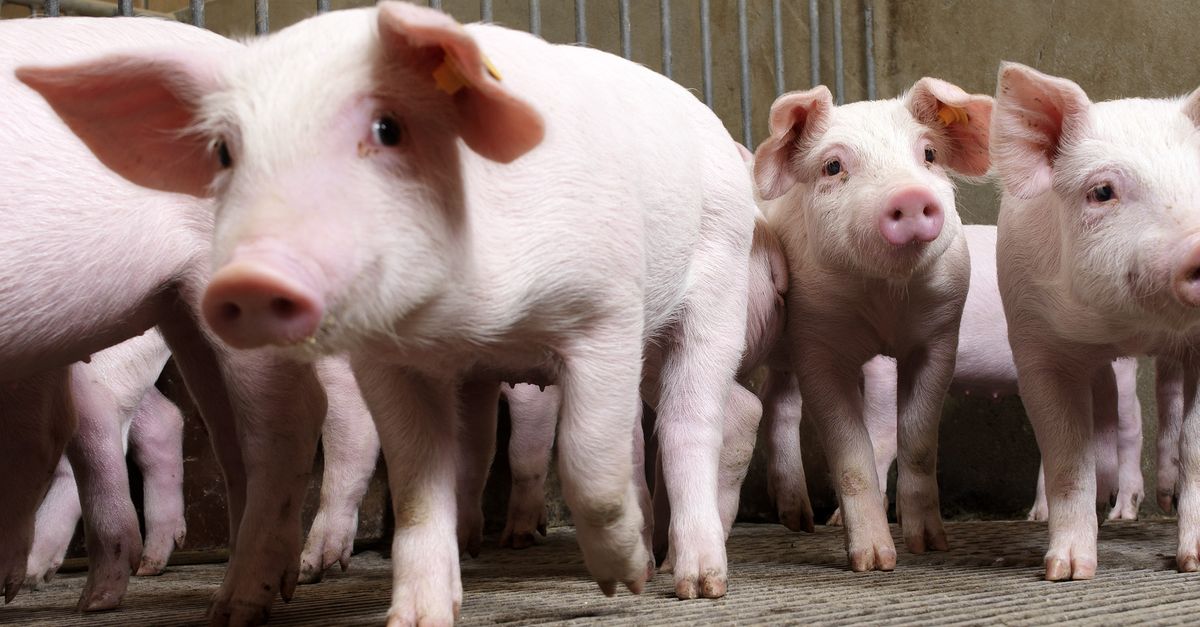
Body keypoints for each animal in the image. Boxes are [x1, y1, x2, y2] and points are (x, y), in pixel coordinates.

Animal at [756, 79, 992, 571]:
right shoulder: (816, 342)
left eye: (929, 154)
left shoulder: (940, 337)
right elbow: (850, 456)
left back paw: (799, 521)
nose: (908, 196)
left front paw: (931, 547)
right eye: (833, 165)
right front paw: (874, 563)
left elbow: (918, 441)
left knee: (779, 401)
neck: (886, 300)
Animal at [991, 61, 1200, 580]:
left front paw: (1192, 563)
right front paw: (1066, 572)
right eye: (1102, 191)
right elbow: (1068, 457)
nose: (1197, 245)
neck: (1131, 328)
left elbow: (1197, 446)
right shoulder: (1035, 344)